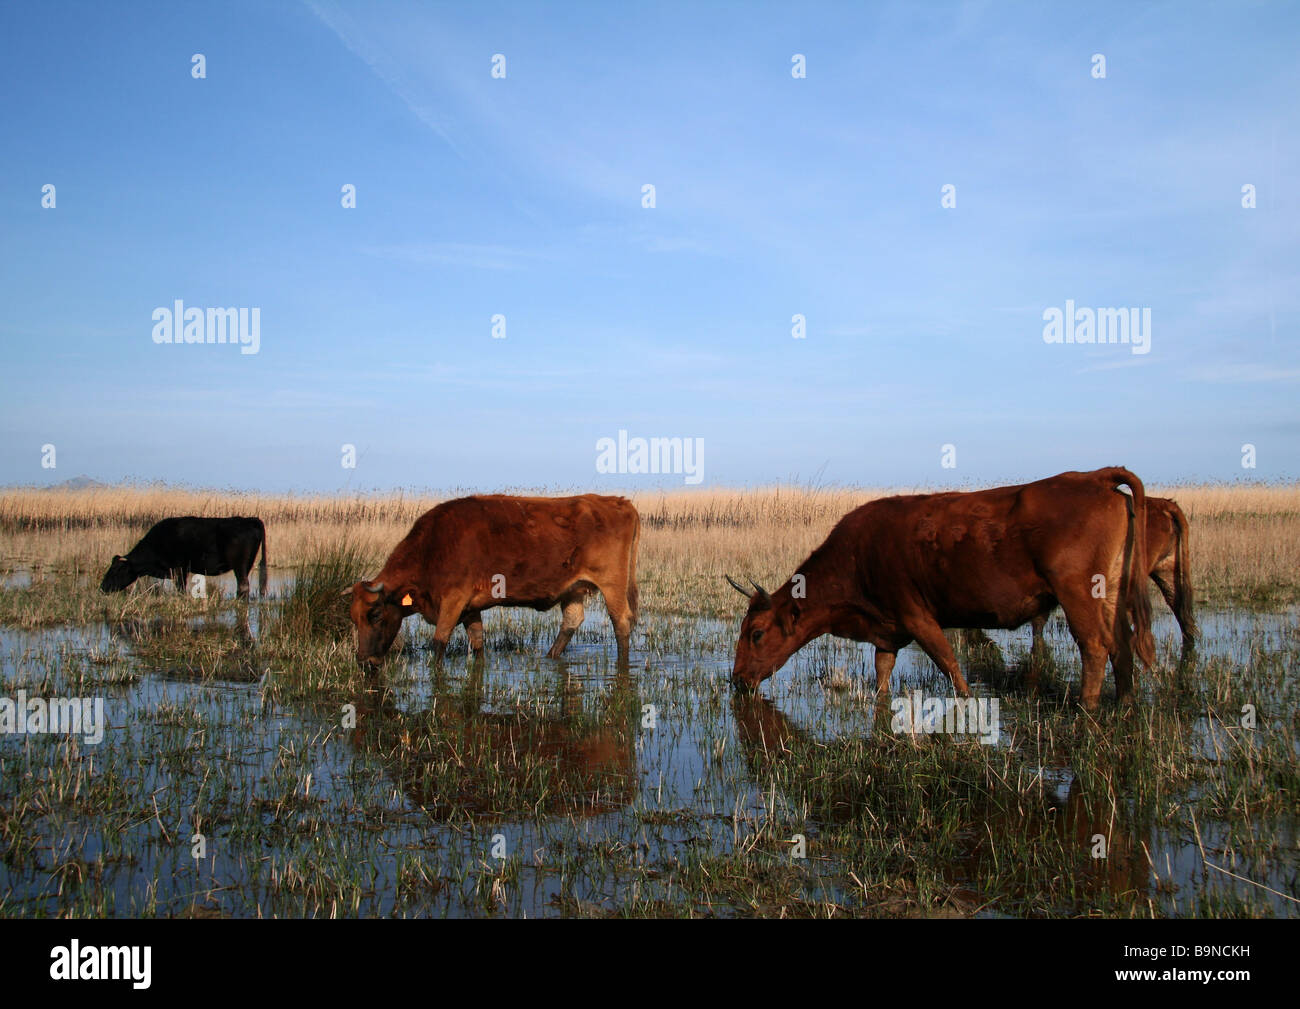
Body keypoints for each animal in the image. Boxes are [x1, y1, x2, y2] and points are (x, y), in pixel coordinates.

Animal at [100, 516, 269, 600]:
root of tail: (249, 519)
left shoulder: (178, 568)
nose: (102, 587)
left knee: (243, 586)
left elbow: (181, 589)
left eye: (115, 571)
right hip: (246, 565)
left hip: (239, 565)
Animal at [344, 494, 640, 670]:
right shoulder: (470, 607)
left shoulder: (453, 600)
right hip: (573, 589)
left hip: (612, 584)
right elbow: (477, 643)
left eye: (376, 614)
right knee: (571, 621)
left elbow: (439, 642)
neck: (434, 547)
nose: (364, 661)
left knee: (621, 621)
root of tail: (617, 501)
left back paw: (622, 665)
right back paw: (550, 657)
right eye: (353, 618)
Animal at [727, 468, 1156, 711]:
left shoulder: (918, 617)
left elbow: (950, 666)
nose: (737, 680)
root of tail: (1091, 476)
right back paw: (1126, 704)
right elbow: (882, 675)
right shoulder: (888, 630)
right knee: (1122, 643)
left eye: (757, 633)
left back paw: (1087, 711)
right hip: (1111, 594)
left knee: (1095, 646)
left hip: (1078, 593)